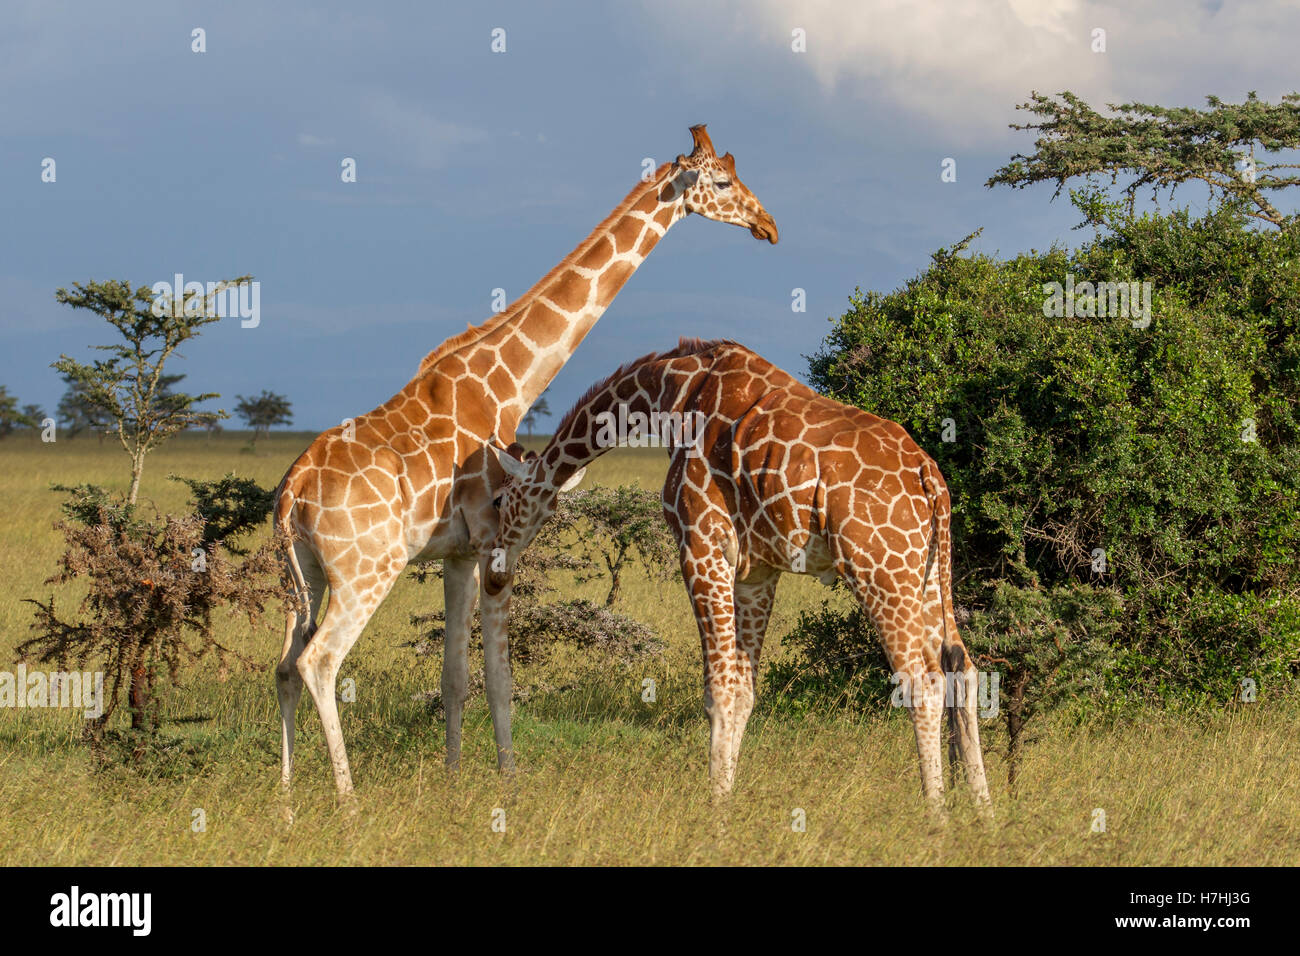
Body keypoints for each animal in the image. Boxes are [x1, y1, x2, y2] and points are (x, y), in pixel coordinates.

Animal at [275, 128, 778, 797]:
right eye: (722, 181)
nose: (767, 225)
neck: (508, 384)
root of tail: (291, 493)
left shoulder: (458, 554)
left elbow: (456, 678)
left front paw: (454, 779)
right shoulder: (497, 547)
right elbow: (501, 678)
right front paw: (509, 779)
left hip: (301, 575)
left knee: (283, 666)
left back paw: (283, 793)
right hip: (364, 572)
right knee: (320, 661)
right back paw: (348, 798)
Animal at [488, 339, 992, 810]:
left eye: (498, 500)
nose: (495, 570)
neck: (670, 394)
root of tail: (931, 476)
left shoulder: (700, 543)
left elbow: (719, 690)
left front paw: (715, 809)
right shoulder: (757, 570)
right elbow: (745, 690)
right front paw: (727, 795)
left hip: (880, 567)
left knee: (922, 683)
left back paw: (936, 814)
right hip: (927, 571)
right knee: (962, 670)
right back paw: (981, 812)